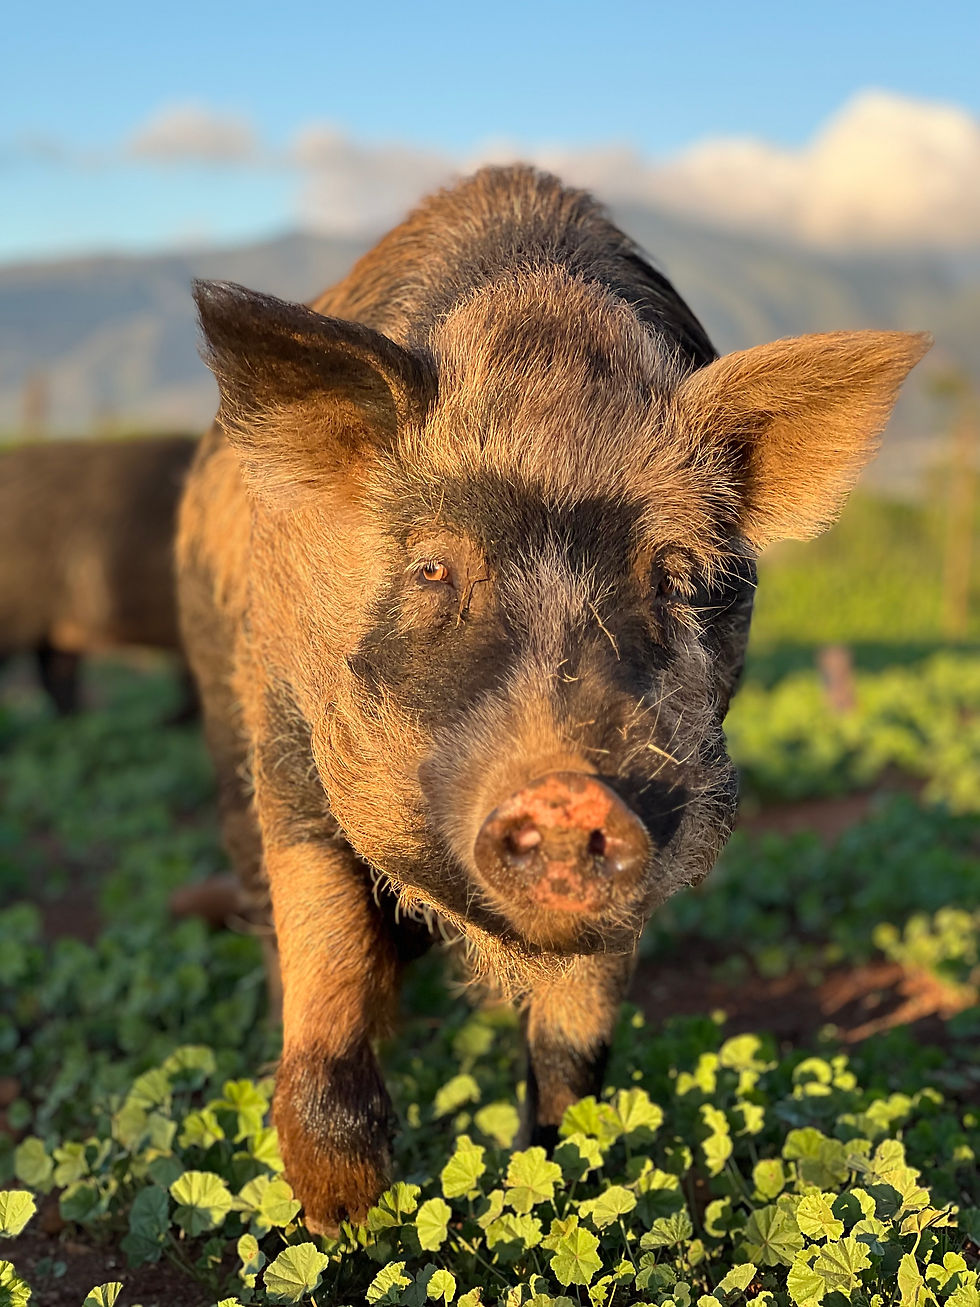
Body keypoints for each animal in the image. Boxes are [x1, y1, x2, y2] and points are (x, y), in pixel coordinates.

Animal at [177, 165, 929, 1232]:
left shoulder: (657, 819)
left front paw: (563, 1180)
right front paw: (339, 1225)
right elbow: (326, 964)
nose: (570, 788)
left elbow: (578, 1044)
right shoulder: (286, 741)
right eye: (434, 568)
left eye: (675, 572)